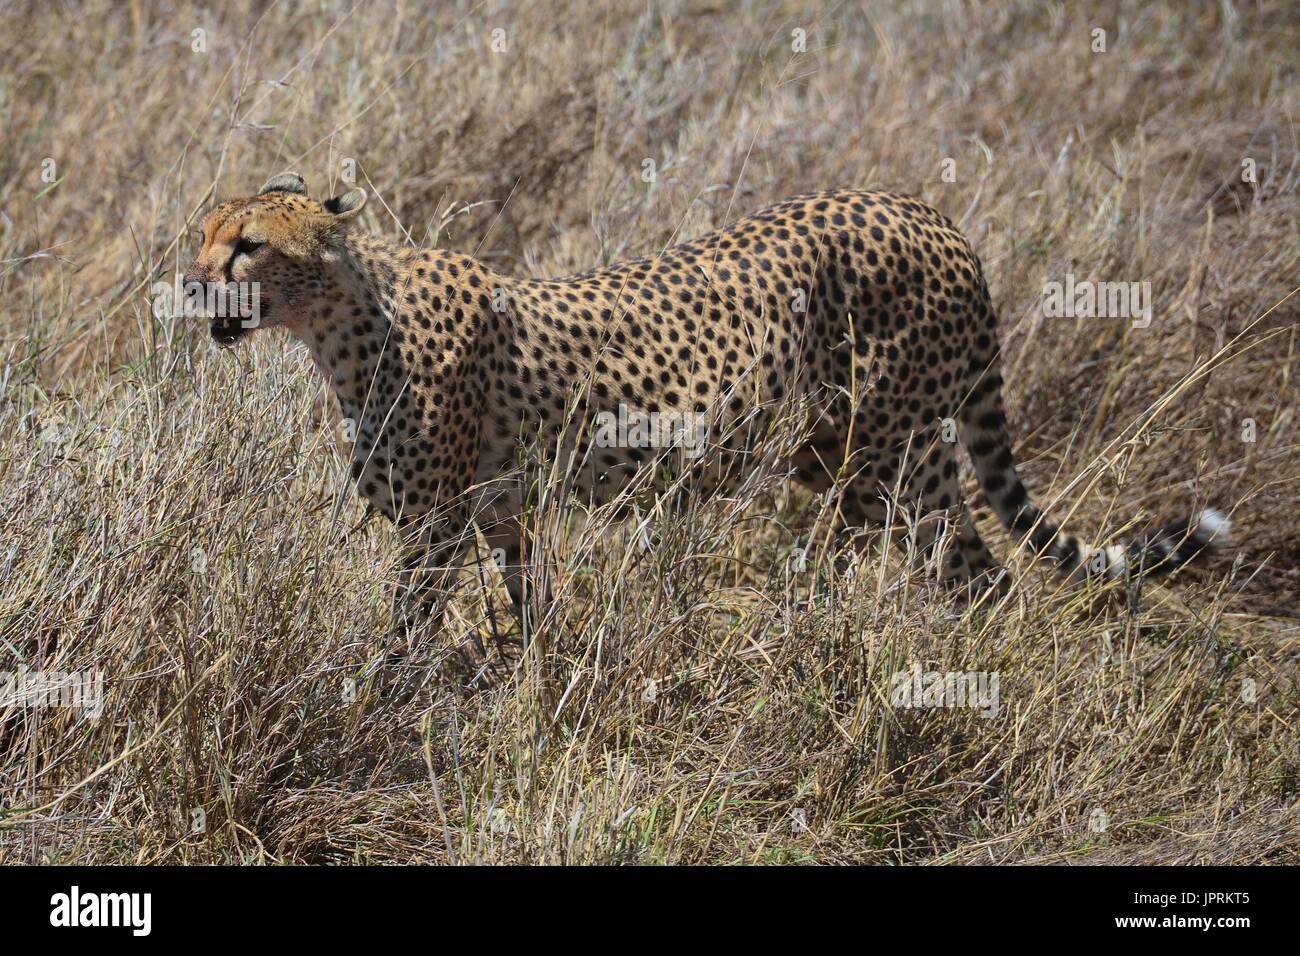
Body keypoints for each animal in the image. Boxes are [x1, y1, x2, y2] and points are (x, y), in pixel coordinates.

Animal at [183, 171, 1228, 635]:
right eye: (203, 234)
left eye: (247, 247)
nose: (191, 284)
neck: (341, 322)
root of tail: (922, 209)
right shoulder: (501, 509)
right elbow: (527, 605)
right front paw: (523, 685)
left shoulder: (436, 524)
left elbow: (407, 630)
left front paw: (389, 697)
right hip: (874, 453)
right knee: (964, 564)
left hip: (878, 452)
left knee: (919, 566)